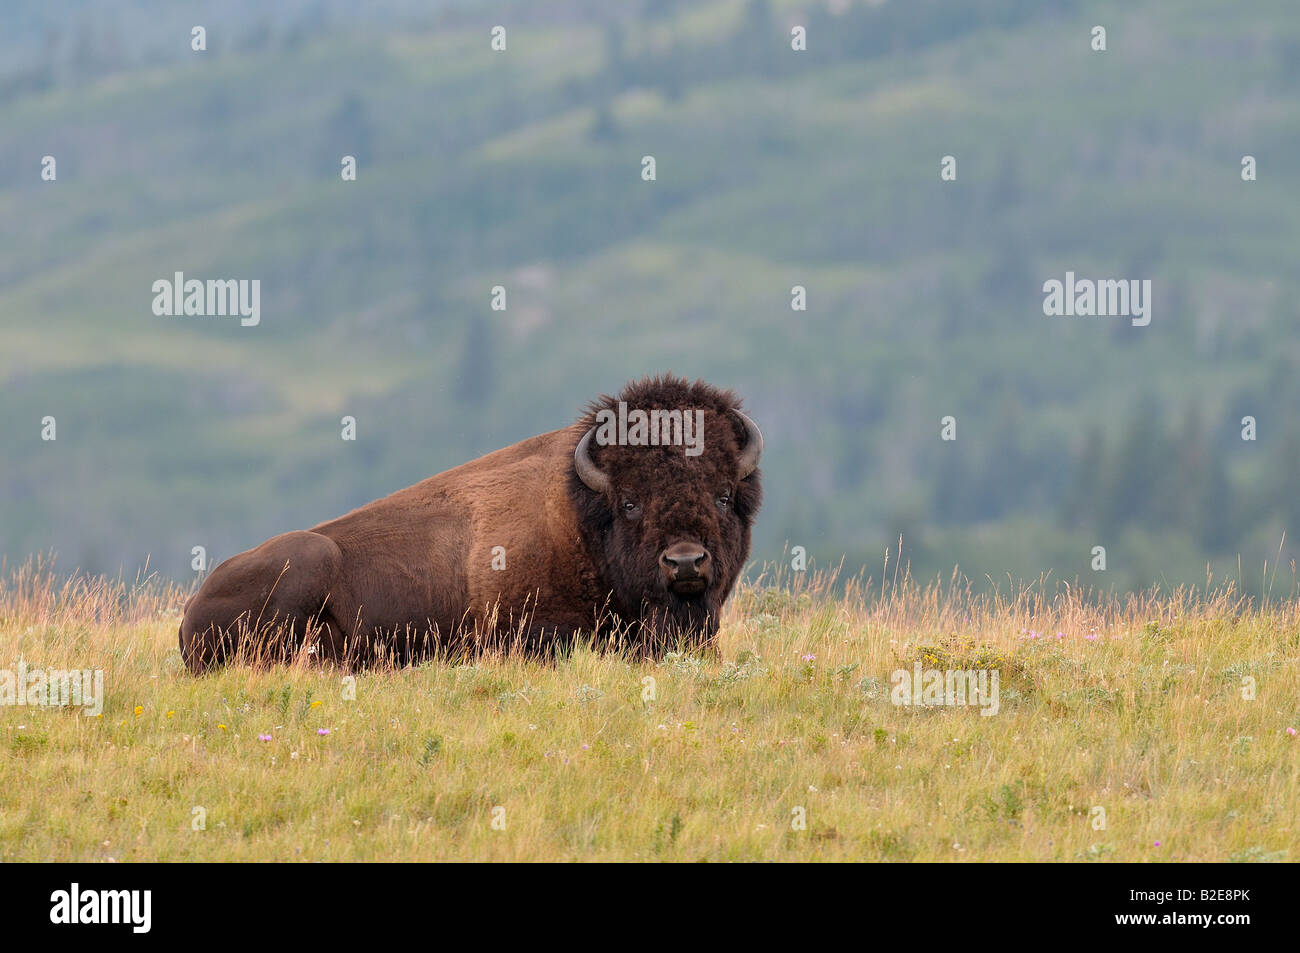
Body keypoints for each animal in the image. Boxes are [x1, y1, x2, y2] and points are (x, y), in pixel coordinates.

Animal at [179, 375, 762, 671]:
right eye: (630, 502)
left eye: (724, 495)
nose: (685, 563)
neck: (581, 520)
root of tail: (189, 612)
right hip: (308, 556)